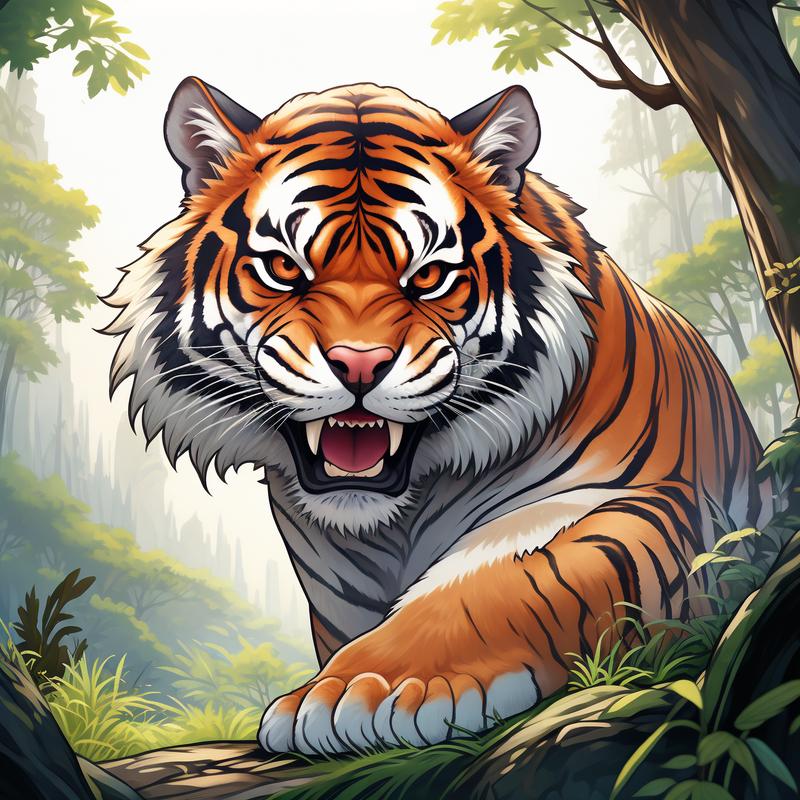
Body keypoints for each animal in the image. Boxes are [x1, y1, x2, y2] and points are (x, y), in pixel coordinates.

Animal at [104, 77, 769, 754]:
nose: (359, 365)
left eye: (427, 275)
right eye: (285, 268)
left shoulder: (649, 502)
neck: (392, 522)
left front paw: (363, 688)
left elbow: (502, 577)